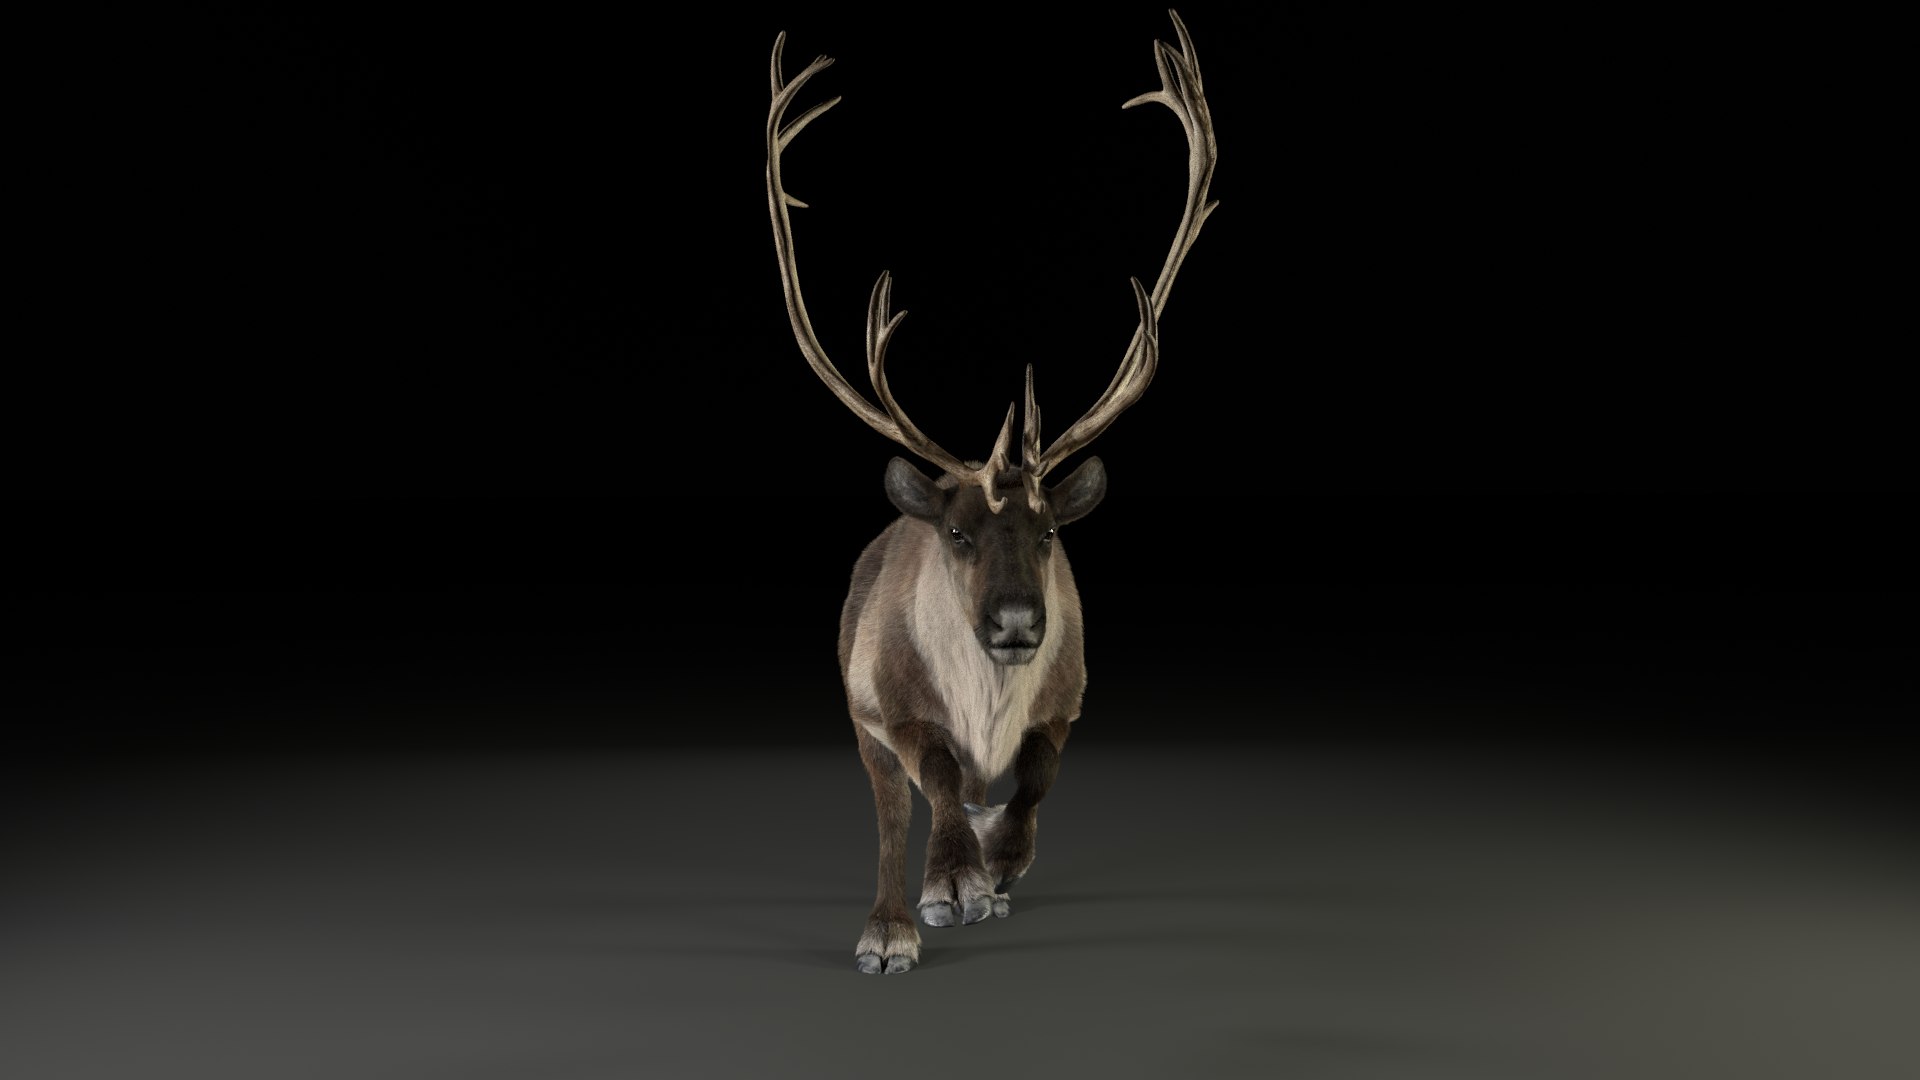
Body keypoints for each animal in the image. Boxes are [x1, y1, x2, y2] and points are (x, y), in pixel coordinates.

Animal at [765, 10, 1219, 974]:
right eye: (958, 534)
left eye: (1049, 533)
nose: (1015, 622)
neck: (987, 708)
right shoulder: (892, 709)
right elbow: (930, 780)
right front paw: (950, 886)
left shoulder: (1067, 700)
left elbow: (1037, 776)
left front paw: (999, 861)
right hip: (859, 712)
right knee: (894, 811)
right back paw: (895, 922)